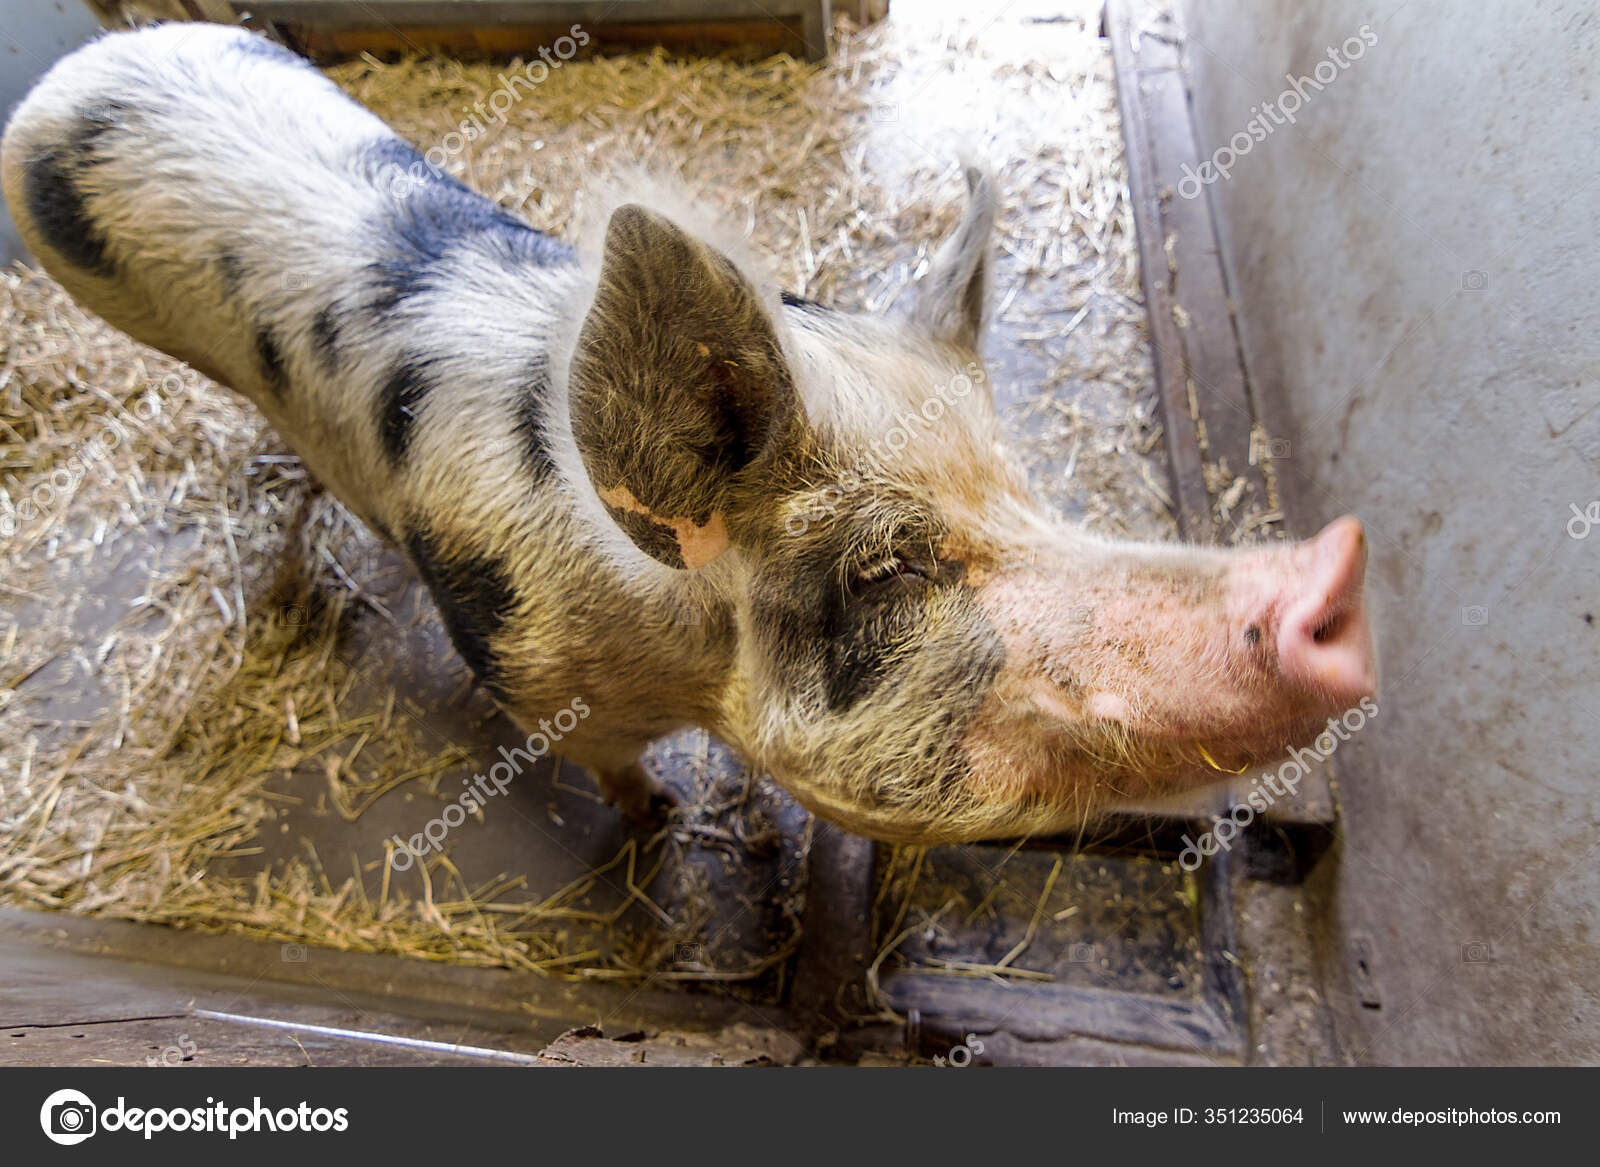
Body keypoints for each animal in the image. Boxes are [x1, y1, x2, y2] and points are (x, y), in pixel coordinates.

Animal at [1, 24, 1377, 844]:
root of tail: (84, 61)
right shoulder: (531, 681)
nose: (1334, 564)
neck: (671, 661)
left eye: (1025, 494)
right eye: (885, 567)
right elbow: (608, 775)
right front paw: (659, 821)